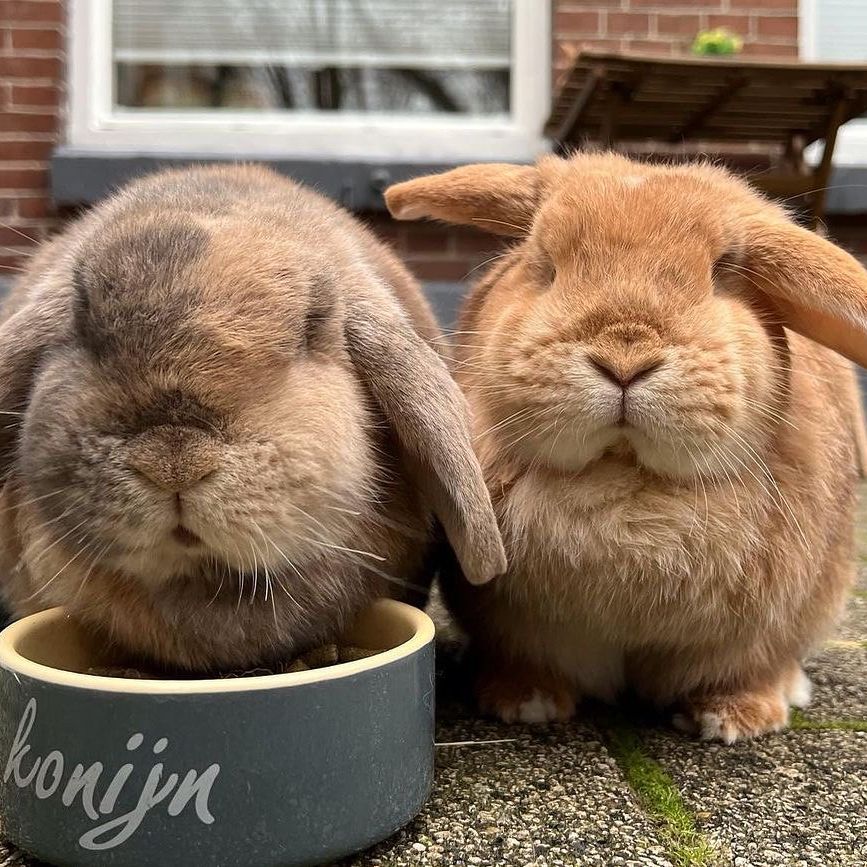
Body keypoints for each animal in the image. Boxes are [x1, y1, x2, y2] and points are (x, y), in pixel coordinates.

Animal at [385, 152, 867, 742]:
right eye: (546, 264)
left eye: (722, 273)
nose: (624, 358)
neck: (624, 480)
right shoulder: (521, 629)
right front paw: (524, 702)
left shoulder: (759, 636)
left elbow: (746, 669)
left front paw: (734, 719)